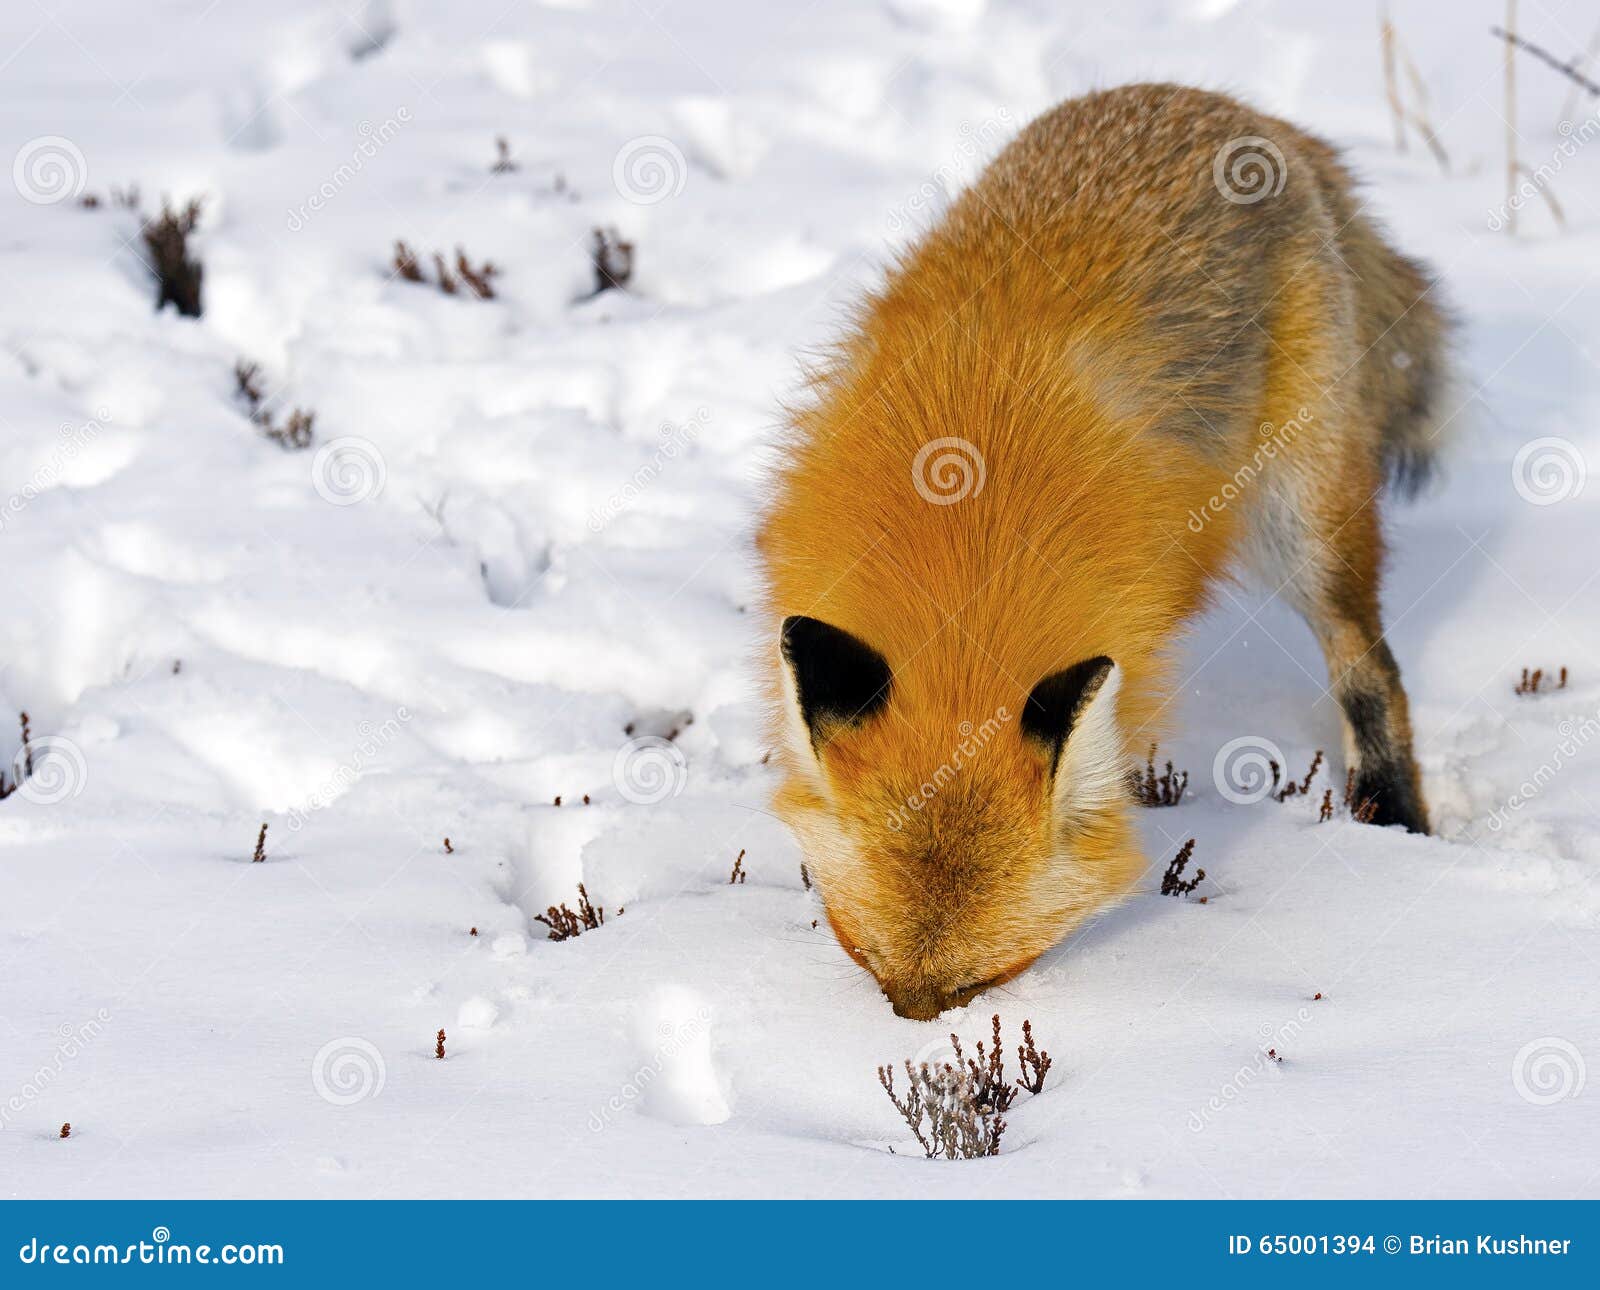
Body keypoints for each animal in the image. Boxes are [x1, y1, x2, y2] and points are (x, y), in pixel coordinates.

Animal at [755, 84, 1452, 1021]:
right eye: (857, 950)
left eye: (988, 979)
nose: (912, 1032)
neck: (963, 567)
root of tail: (1227, 105)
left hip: (1299, 517)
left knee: (1368, 664)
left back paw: (1396, 821)